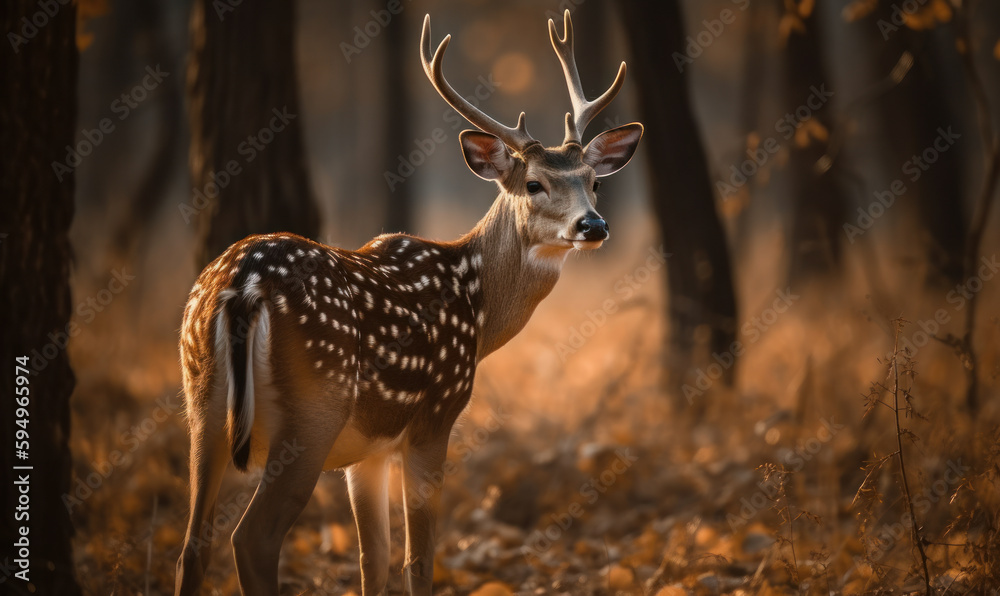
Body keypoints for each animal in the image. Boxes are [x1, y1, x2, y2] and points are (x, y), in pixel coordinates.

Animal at [174, 10, 642, 596]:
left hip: (202, 403)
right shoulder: (434, 418)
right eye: (534, 183)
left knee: (193, 545)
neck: (478, 310)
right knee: (252, 539)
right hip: (313, 408)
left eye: (595, 181)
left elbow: (373, 559)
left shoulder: (365, 452)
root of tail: (241, 286)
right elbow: (417, 559)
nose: (593, 225)